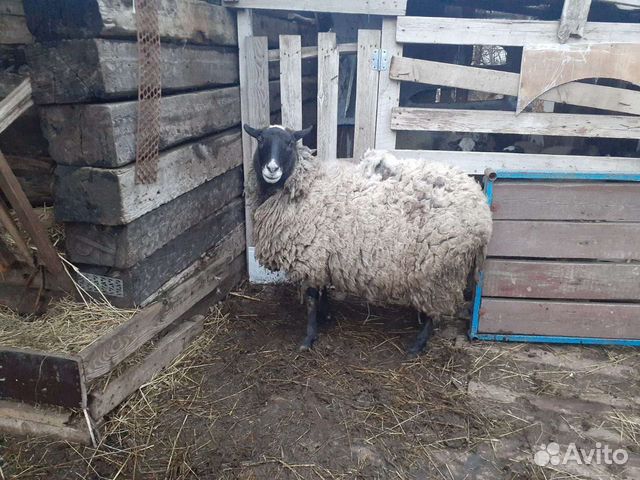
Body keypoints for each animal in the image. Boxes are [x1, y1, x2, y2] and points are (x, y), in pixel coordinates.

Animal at [244, 124, 493, 355]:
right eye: (260, 139)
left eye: (289, 143)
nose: (272, 169)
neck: (307, 186)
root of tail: (481, 208)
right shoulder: (322, 258)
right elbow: (323, 292)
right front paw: (327, 316)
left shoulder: (311, 258)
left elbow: (312, 300)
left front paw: (309, 337)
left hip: (439, 271)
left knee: (434, 311)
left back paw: (417, 345)